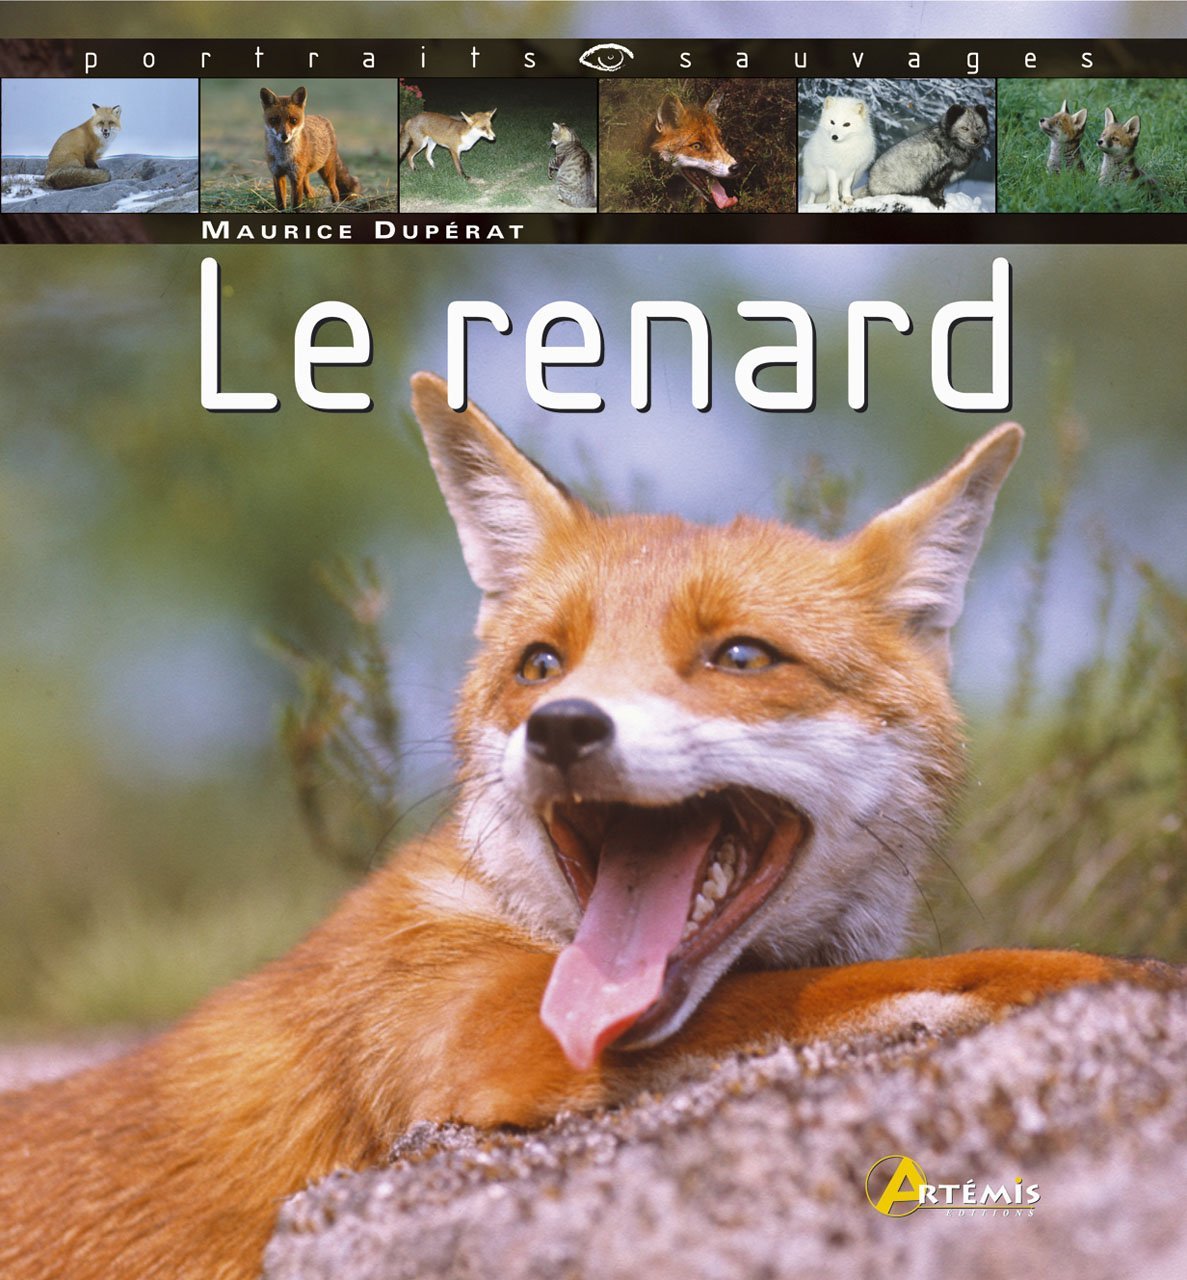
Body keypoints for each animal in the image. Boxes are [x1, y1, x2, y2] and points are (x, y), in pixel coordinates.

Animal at [0, 373, 1174, 1280]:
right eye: (541, 665)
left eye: (739, 656)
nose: (563, 727)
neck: (526, 919)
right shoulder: (482, 1038)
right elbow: (898, 975)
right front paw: (1102, 974)